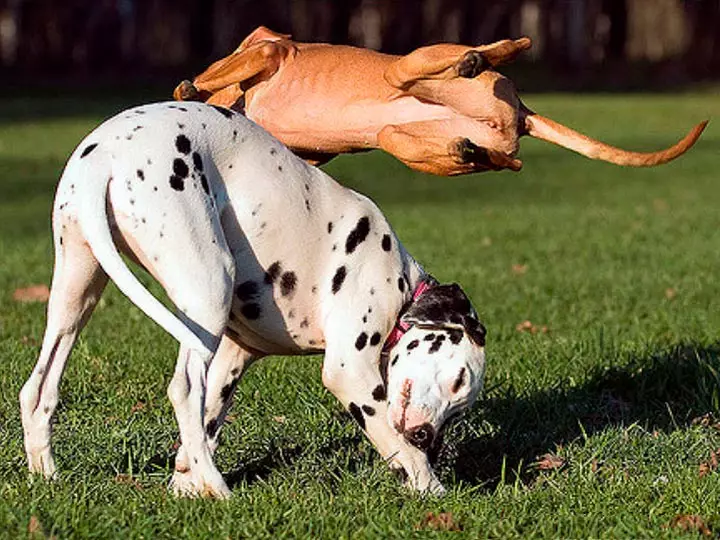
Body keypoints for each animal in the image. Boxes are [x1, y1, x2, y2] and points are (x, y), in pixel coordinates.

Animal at [18, 101, 490, 498]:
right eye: (457, 380)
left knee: (38, 389)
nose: (429, 437)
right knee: (183, 389)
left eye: (459, 410)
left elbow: (206, 423)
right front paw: (431, 486)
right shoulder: (350, 372)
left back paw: (47, 474)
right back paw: (221, 490)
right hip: (208, 285)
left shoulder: (233, 357)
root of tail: (105, 154)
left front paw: (185, 487)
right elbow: (396, 446)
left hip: (77, 297)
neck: (402, 280)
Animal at [173, 26, 704, 175]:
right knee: (503, 161)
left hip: (406, 67)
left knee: (475, 56)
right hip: (399, 134)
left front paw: (194, 87)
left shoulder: (269, 49)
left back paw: (501, 49)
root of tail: (522, 112)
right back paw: (470, 150)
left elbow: (203, 80)